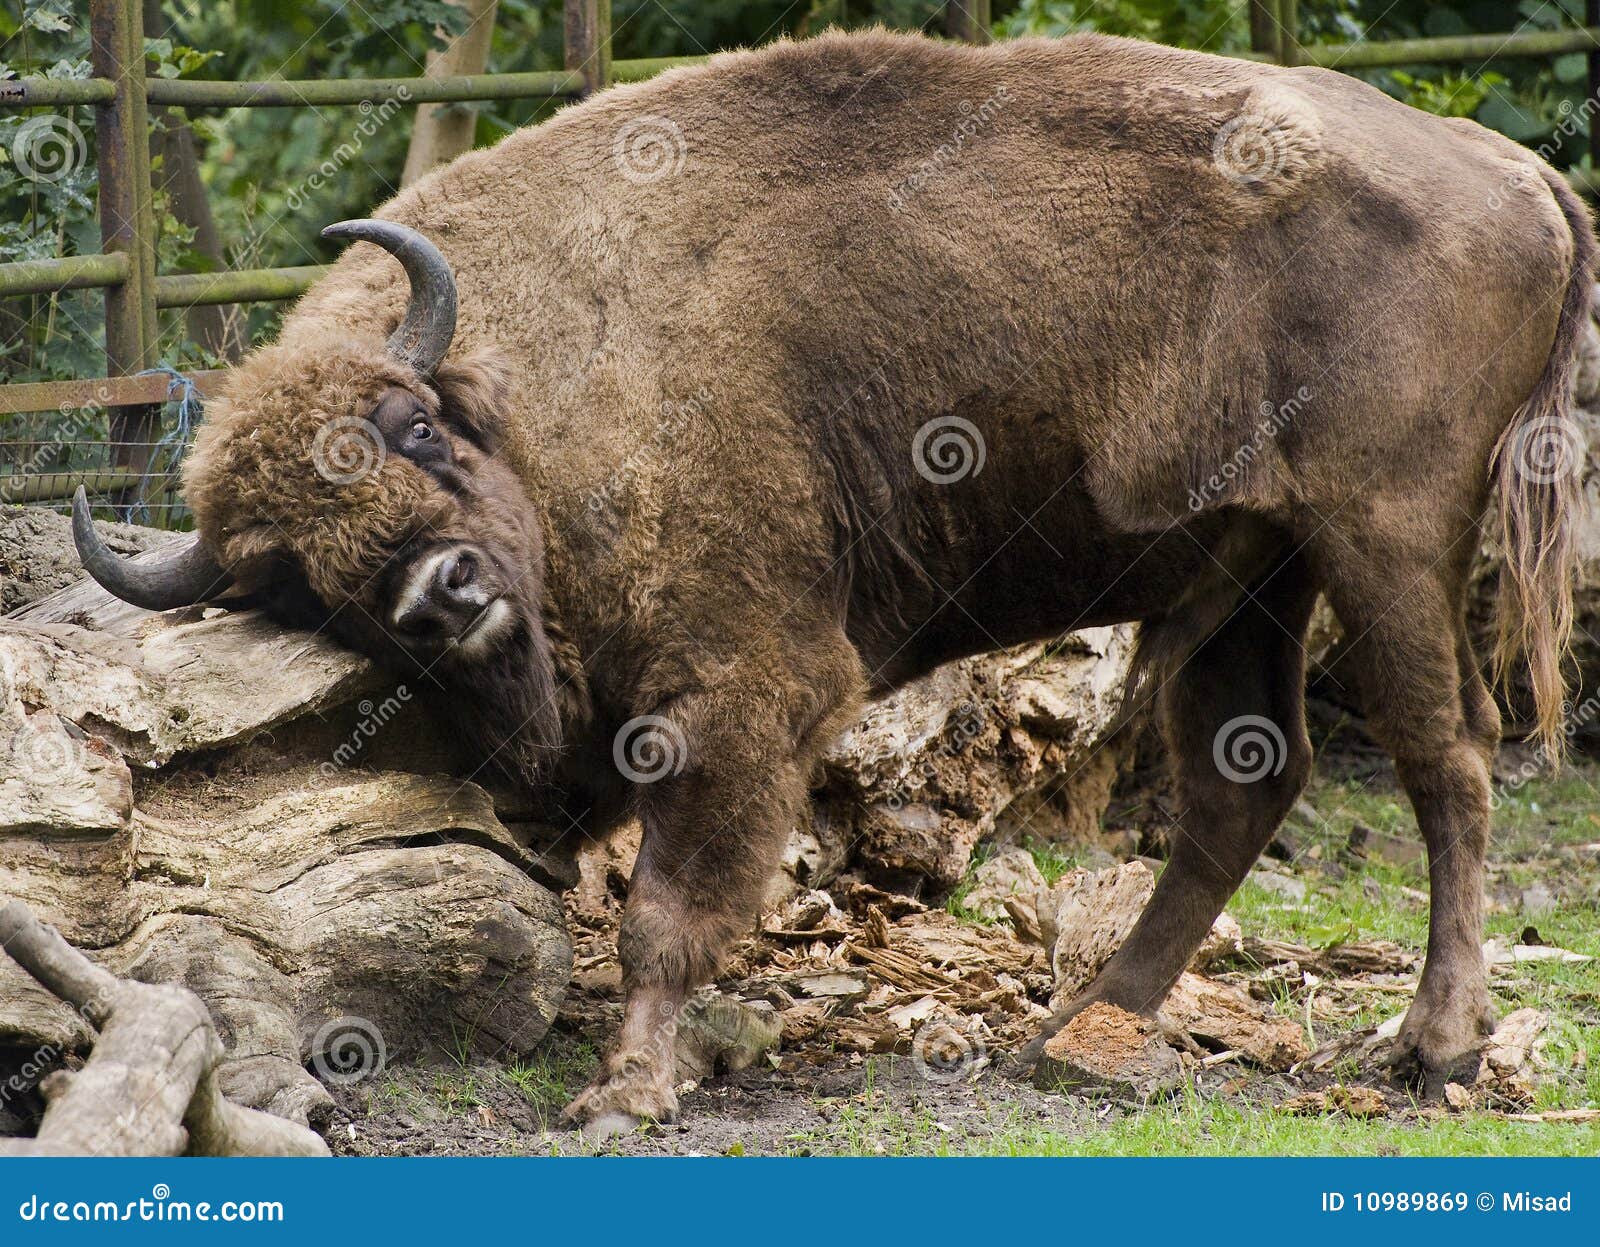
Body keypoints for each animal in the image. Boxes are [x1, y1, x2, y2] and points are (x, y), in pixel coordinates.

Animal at [74, 30, 1593, 1133]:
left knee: (1447, 757)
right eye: (297, 580)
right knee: (1246, 777)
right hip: (1251, 565)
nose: (442, 591)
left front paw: (624, 1092)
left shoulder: (738, 694)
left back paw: (1433, 1049)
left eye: (412, 427)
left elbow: (665, 909)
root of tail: (1508, 170)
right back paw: (1072, 1030)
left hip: (1382, 537)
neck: (556, 374)